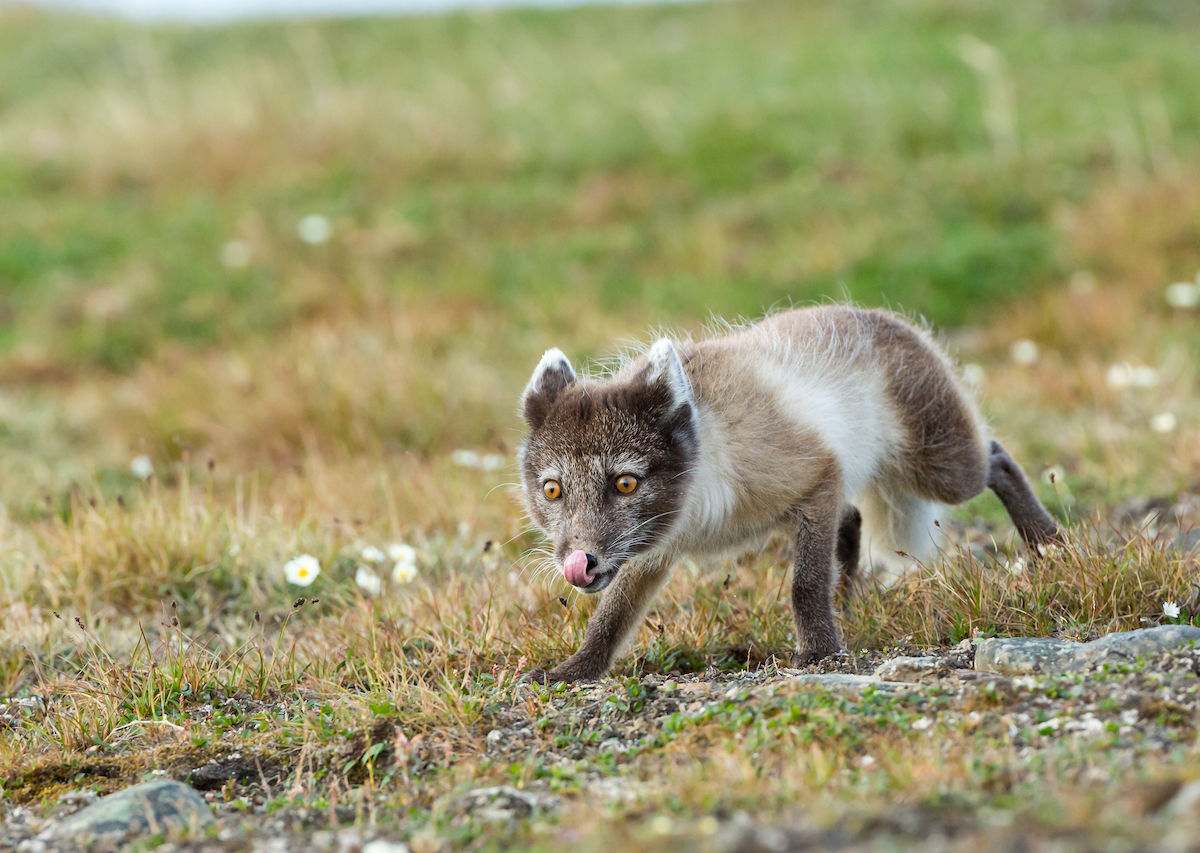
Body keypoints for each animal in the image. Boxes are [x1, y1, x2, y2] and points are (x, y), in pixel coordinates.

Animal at [517, 305, 1060, 684]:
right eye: (552, 490)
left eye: (625, 483)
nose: (580, 563)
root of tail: (893, 321)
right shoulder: (651, 548)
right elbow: (609, 619)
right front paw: (573, 671)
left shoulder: (817, 478)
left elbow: (805, 582)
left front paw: (819, 653)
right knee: (852, 522)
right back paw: (847, 606)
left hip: (941, 468)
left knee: (995, 457)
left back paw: (1047, 543)